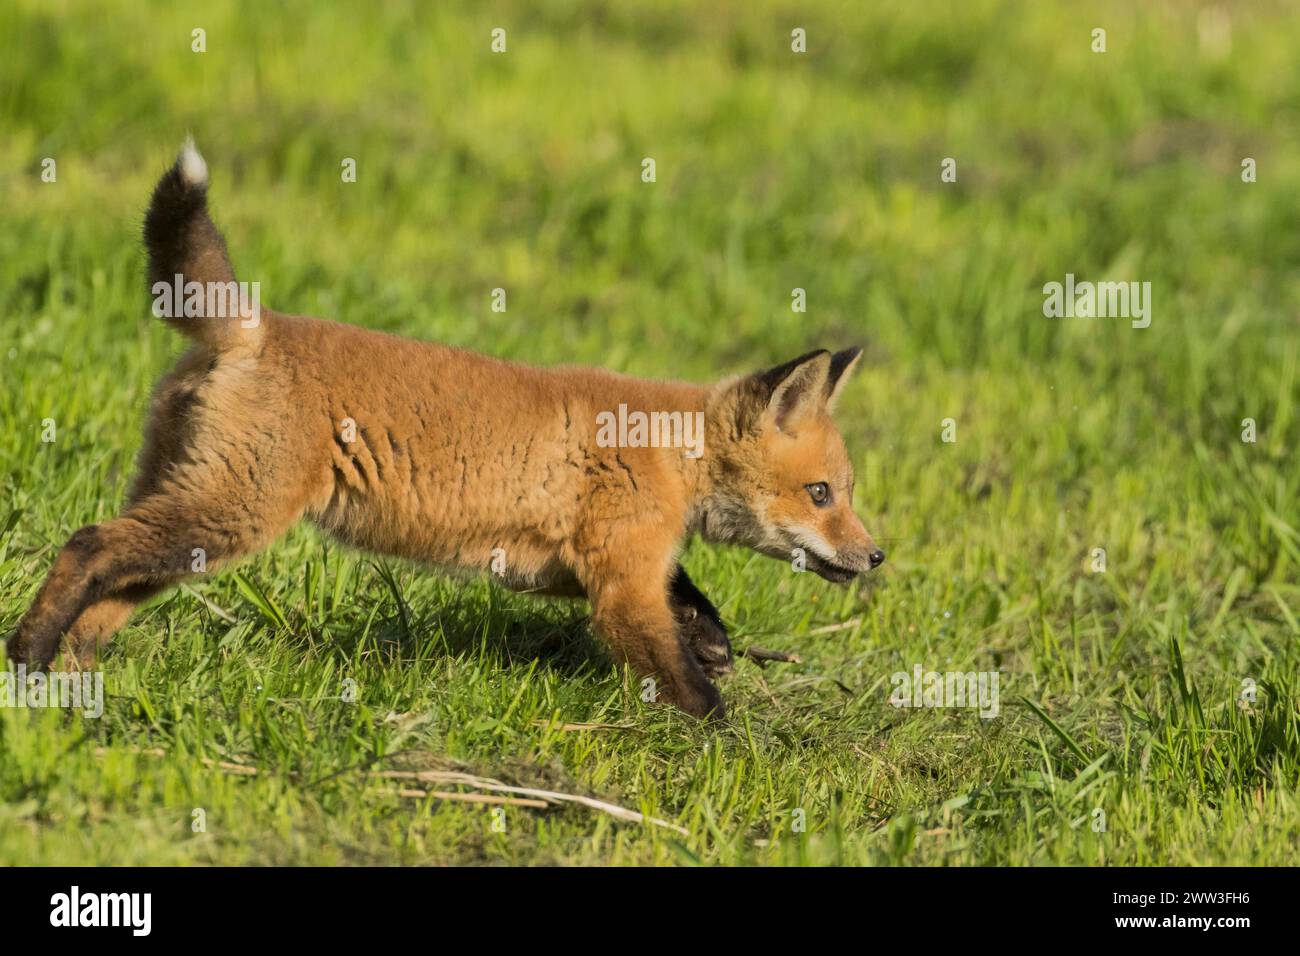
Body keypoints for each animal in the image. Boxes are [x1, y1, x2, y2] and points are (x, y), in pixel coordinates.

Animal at [8, 140, 885, 718]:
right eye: (821, 494)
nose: (876, 556)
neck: (671, 449)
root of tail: (256, 324)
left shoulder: (577, 564)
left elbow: (688, 599)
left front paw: (715, 642)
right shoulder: (618, 583)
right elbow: (689, 683)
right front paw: (735, 746)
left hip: (190, 518)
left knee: (108, 584)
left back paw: (75, 678)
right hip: (229, 516)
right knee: (86, 545)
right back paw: (27, 658)